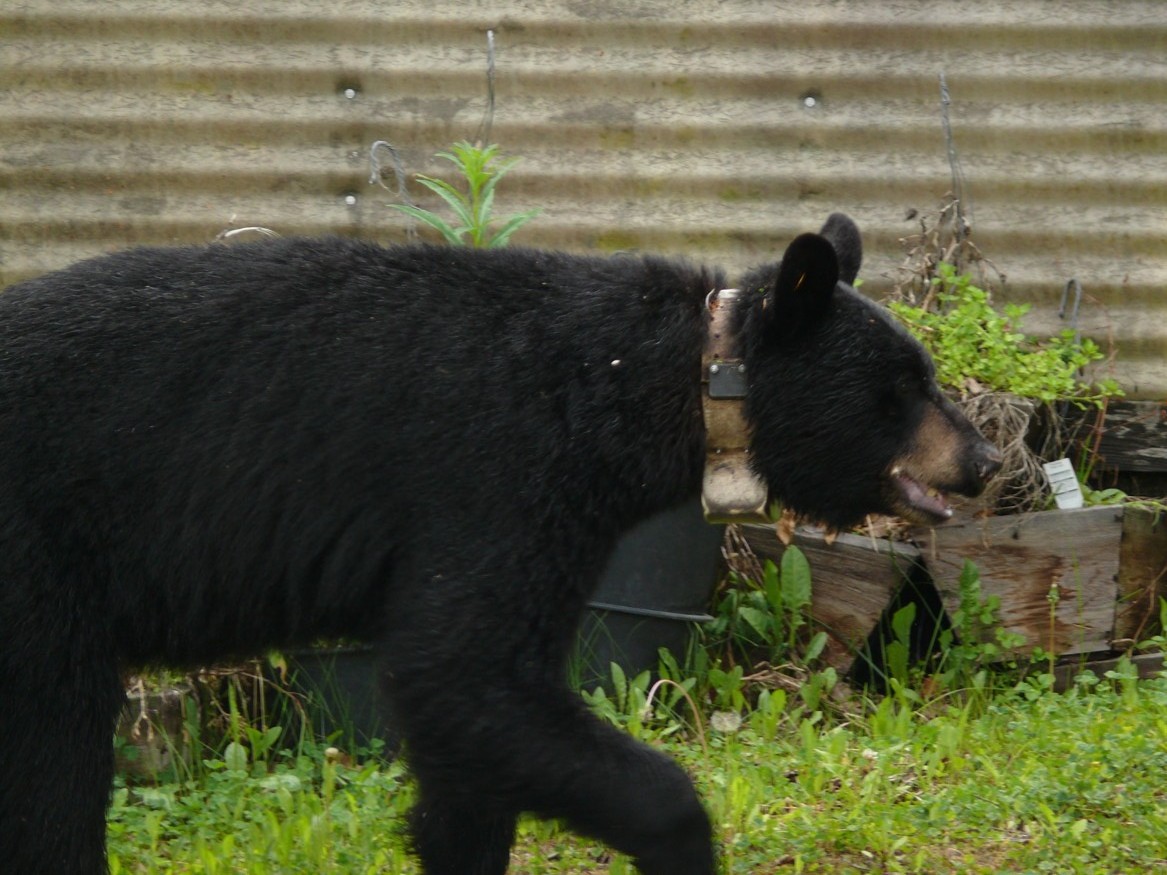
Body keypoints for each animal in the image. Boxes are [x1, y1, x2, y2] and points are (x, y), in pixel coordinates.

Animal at [0, 213, 1000, 875]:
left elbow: (470, 726)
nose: (983, 458)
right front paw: (682, 841)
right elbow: (460, 671)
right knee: (55, 745)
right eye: (902, 389)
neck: (656, 379)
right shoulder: (496, 473)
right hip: (38, 562)